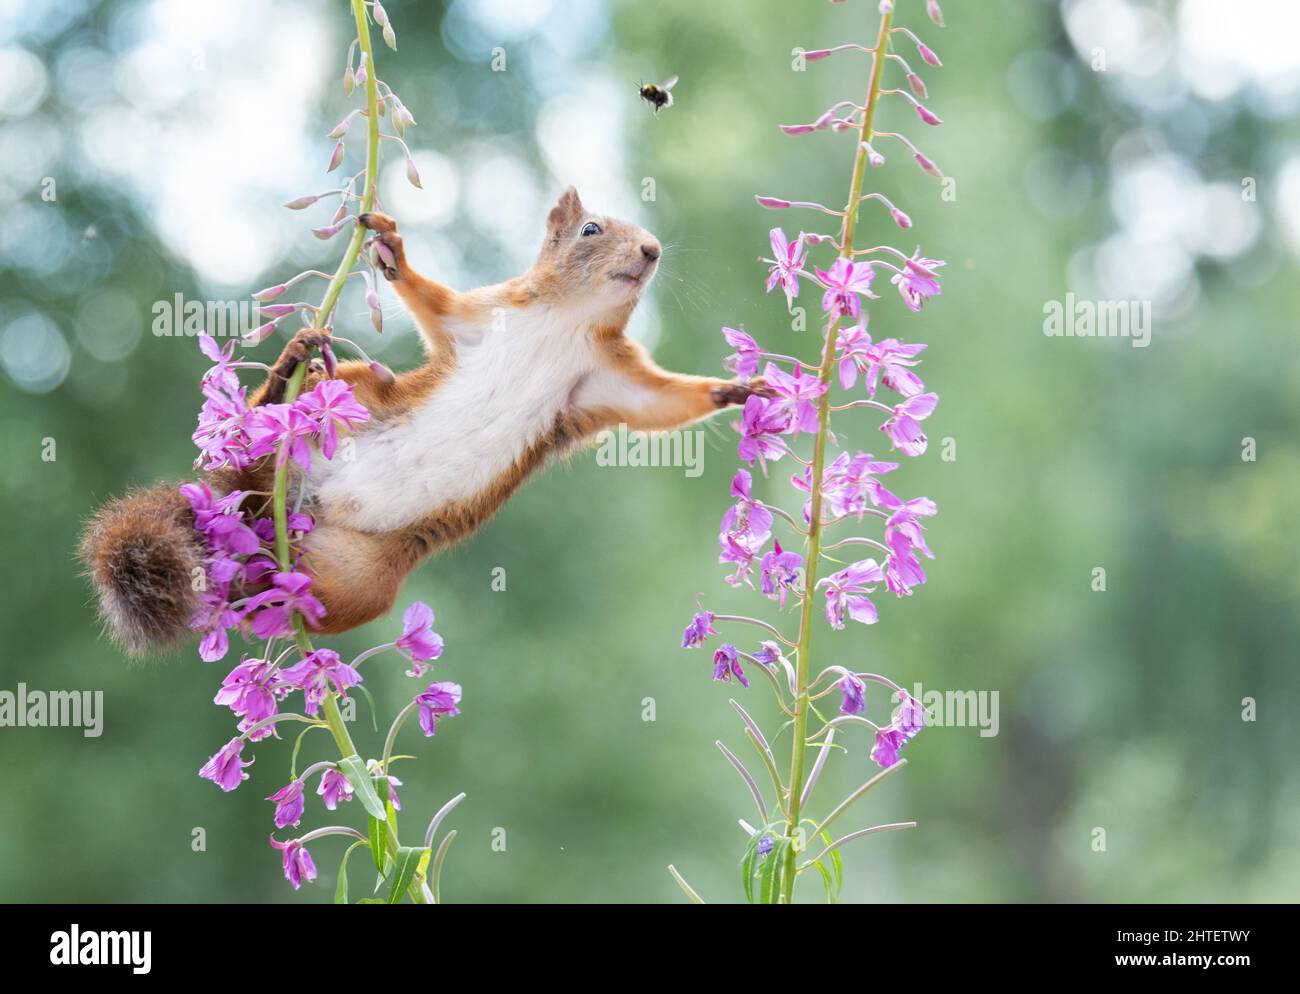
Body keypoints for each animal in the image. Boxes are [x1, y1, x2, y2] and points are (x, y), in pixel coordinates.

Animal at [82, 187, 769, 656]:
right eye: (591, 228)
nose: (651, 251)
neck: (567, 319)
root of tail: (267, 504)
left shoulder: (605, 379)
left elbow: (665, 401)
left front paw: (737, 388)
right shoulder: (475, 318)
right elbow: (428, 300)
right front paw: (390, 247)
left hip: (358, 578)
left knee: (277, 602)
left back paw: (269, 586)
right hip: (345, 392)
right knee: (269, 415)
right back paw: (288, 367)